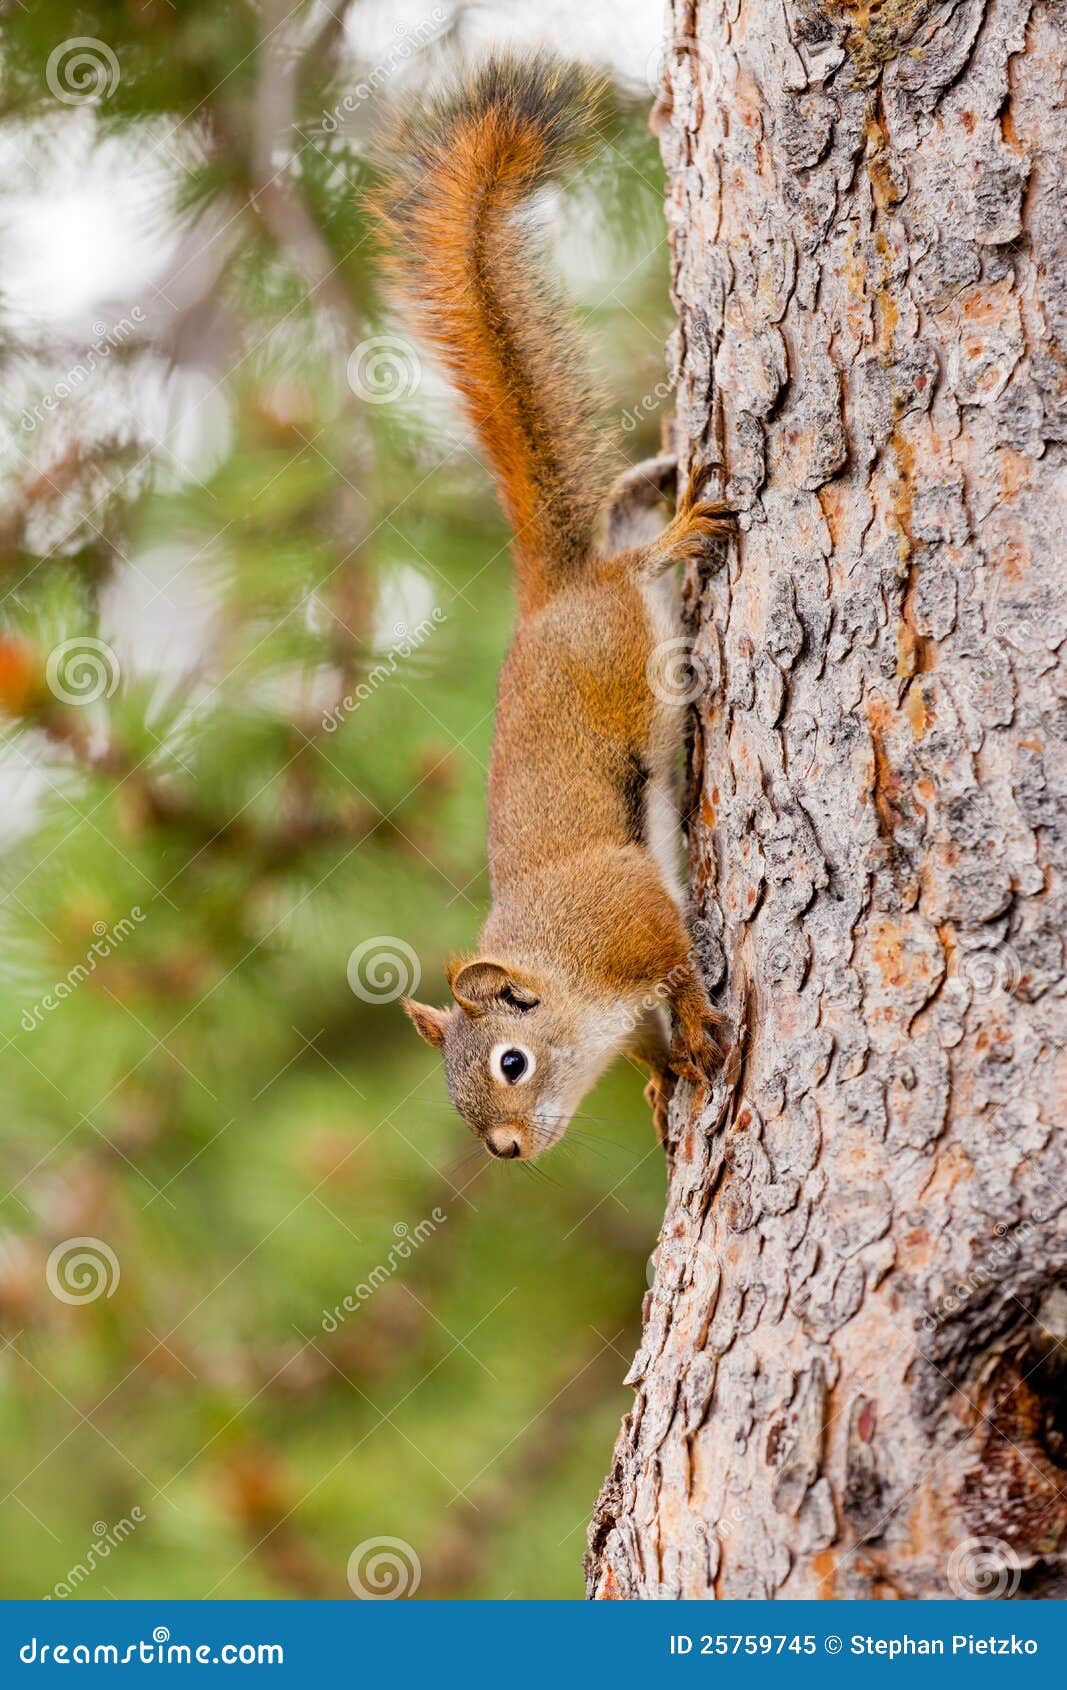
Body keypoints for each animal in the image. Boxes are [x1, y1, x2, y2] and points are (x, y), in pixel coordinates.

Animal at [373, 54, 734, 1161]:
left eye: (509, 1063)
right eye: (459, 1097)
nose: (506, 1151)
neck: (567, 975)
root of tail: (548, 595)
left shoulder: (623, 906)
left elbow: (672, 959)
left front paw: (696, 1020)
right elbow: (654, 1042)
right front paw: (665, 1077)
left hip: (617, 636)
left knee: (632, 572)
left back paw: (672, 529)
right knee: (618, 516)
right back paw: (657, 477)